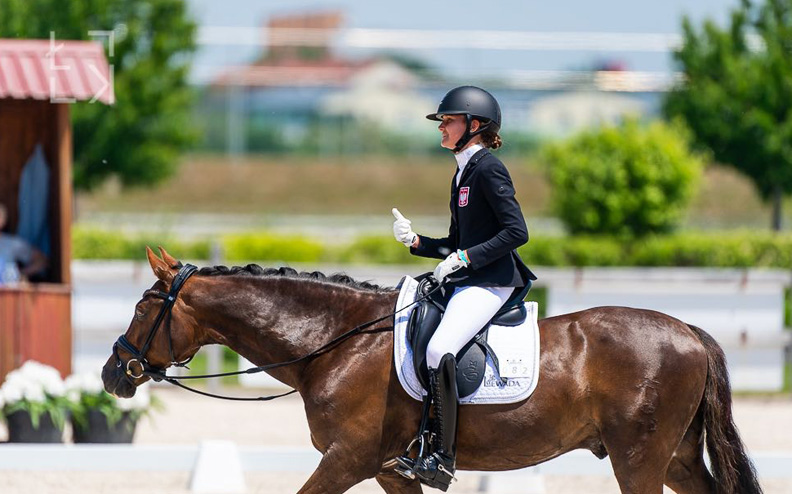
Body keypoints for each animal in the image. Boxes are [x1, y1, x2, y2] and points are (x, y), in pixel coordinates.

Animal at [102, 247, 762, 494]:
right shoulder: (387, 468)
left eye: (141, 308)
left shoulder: (347, 458)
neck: (333, 343)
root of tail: (691, 333)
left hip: (640, 458)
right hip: (673, 457)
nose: (113, 374)